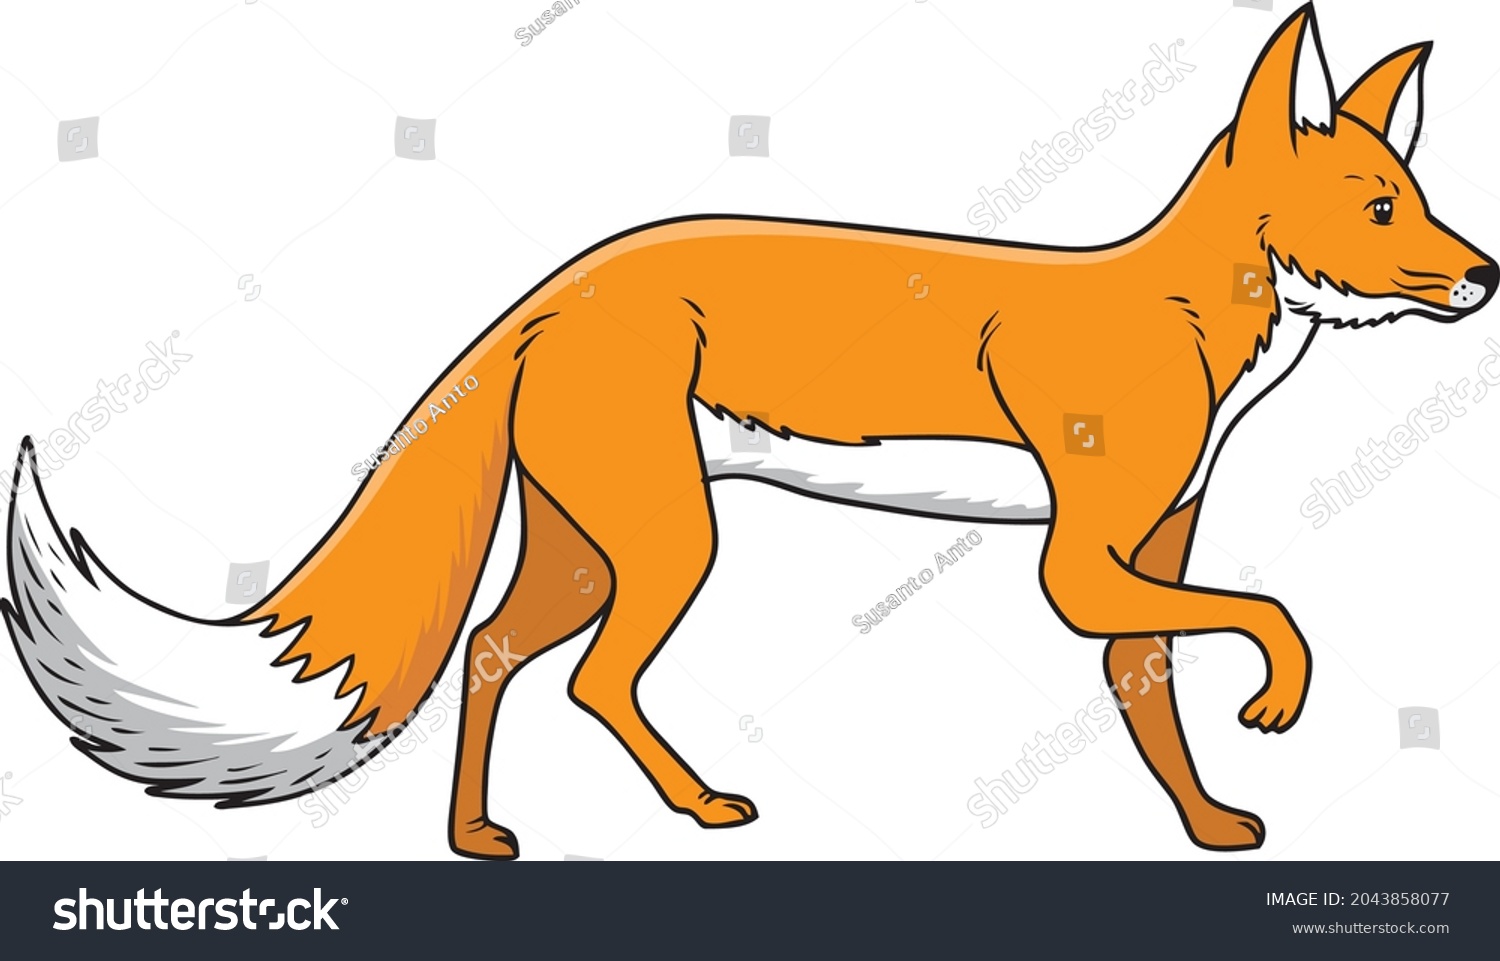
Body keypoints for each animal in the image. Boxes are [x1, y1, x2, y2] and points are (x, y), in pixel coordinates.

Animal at [4, 4, 1494, 860]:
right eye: (1381, 210)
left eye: (1419, 199)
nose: (1485, 275)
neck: (1184, 317)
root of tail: (555, 286)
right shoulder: (1080, 565)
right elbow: (1272, 615)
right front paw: (1280, 699)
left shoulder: (1148, 554)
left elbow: (1153, 697)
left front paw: (1207, 826)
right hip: (671, 545)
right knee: (593, 682)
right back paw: (694, 807)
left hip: (591, 548)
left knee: (492, 651)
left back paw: (479, 833)